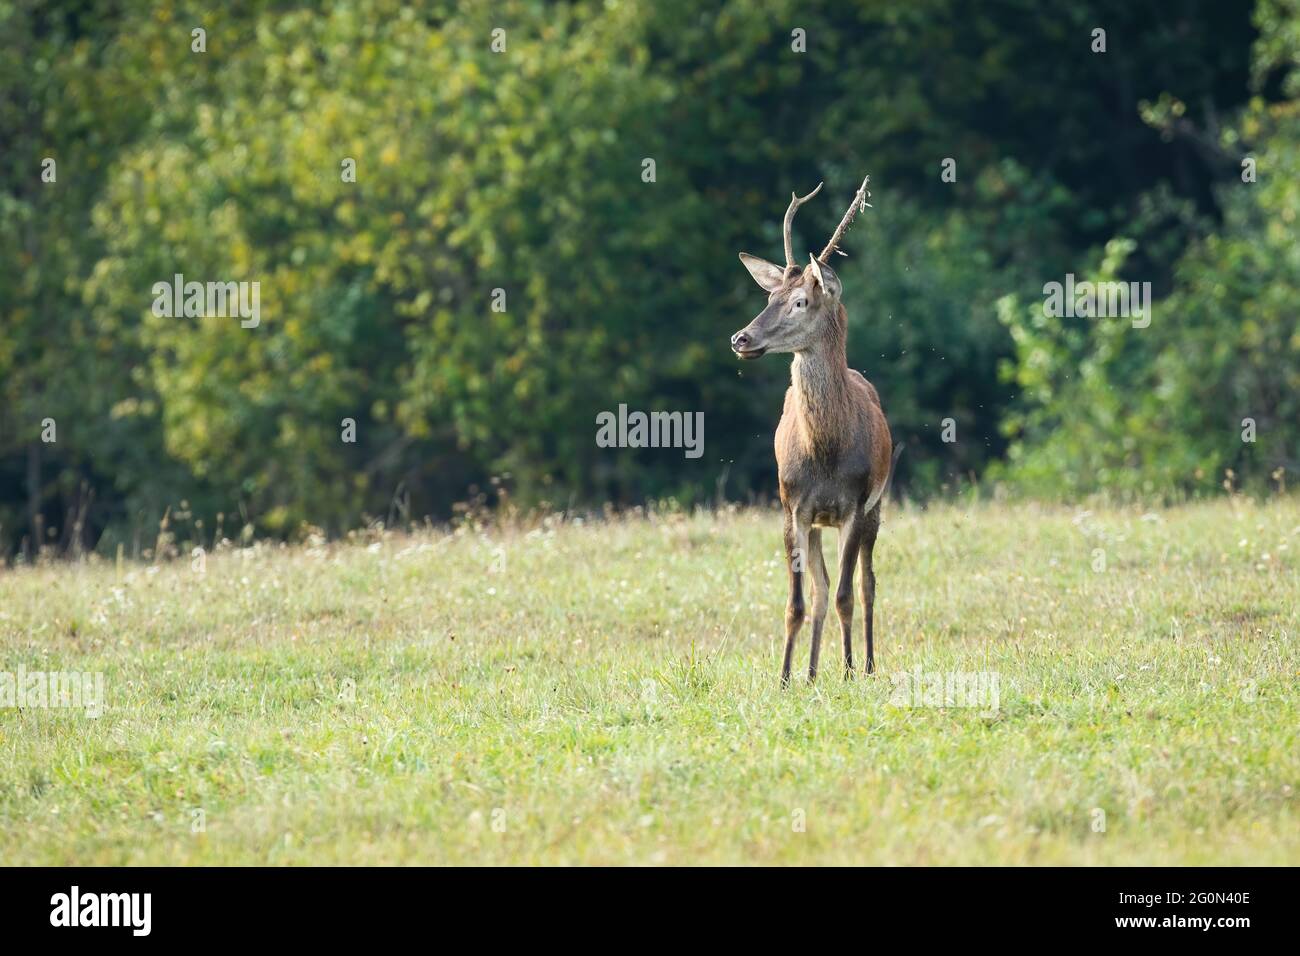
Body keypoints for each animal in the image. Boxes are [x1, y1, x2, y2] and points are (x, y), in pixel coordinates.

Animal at [729, 176, 900, 686]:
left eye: (801, 301)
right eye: (768, 299)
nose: (741, 338)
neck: (825, 453)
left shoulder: (855, 505)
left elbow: (846, 594)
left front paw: (847, 672)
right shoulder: (792, 507)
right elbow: (798, 603)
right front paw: (785, 678)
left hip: (877, 506)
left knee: (865, 586)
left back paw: (864, 665)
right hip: (819, 521)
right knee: (822, 590)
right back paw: (809, 673)